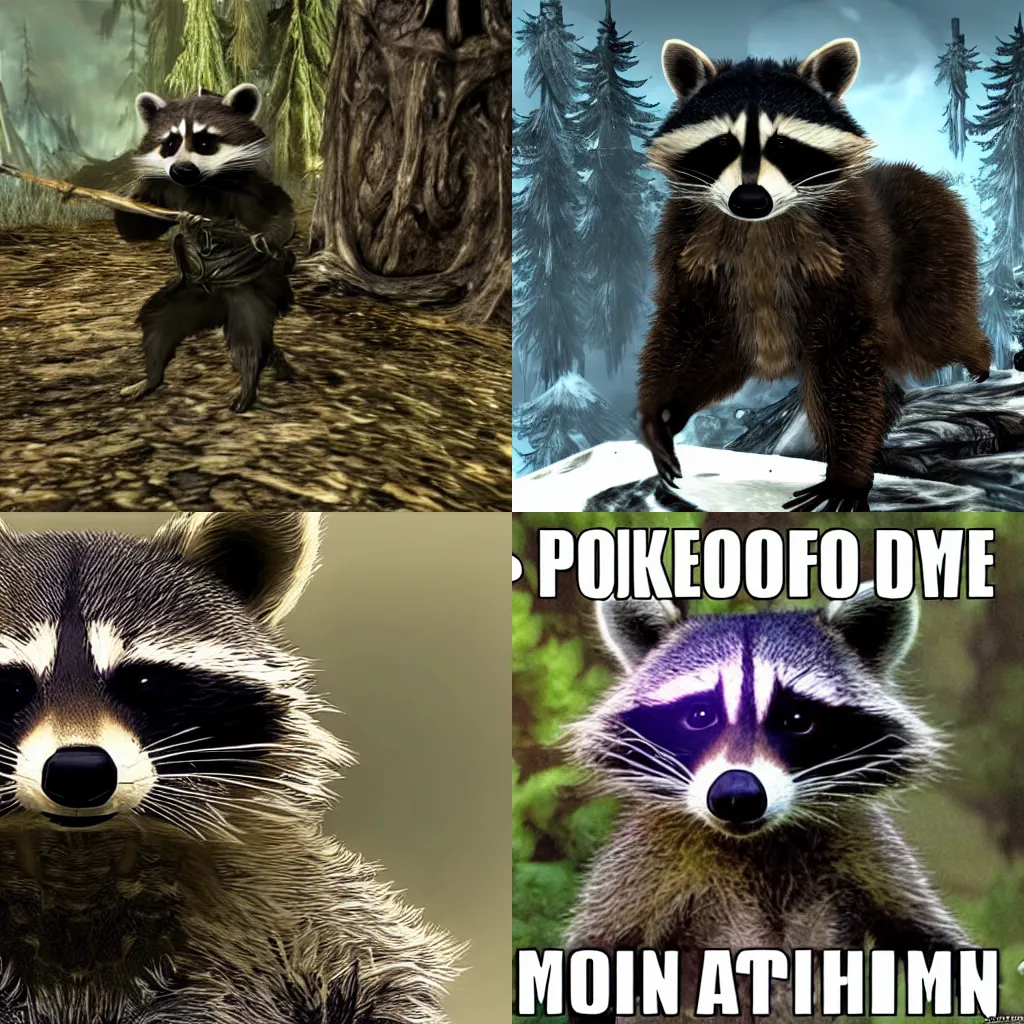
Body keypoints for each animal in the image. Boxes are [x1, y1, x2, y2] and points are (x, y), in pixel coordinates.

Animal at [114, 84, 297, 414]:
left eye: (204, 141)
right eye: (170, 143)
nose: (181, 170)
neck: (197, 184)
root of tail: (216, 300)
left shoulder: (247, 184)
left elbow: (280, 207)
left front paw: (268, 238)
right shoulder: (163, 188)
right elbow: (136, 227)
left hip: (251, 289)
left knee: (250, 337)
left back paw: (248, 384)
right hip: (185, 292)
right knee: (157, 325)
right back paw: (152, 377)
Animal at [565, 586, 970, 1023]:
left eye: (797, 719)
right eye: (700, 715)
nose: (737, 795)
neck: (758, 841)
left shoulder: (867, 846)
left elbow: (933, 937)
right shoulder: (645, 863)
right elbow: (596, 957)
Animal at [639, 38, 993, 511]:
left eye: (784, 146)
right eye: (723, 144)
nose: (749, 200)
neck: (760, 225)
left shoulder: (850, 252)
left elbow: (846, 352)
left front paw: (847, 470)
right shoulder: (687, 244)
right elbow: (691, 327)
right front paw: (661, 408)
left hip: (935, 259)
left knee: (936, 332)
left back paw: (977, 353)